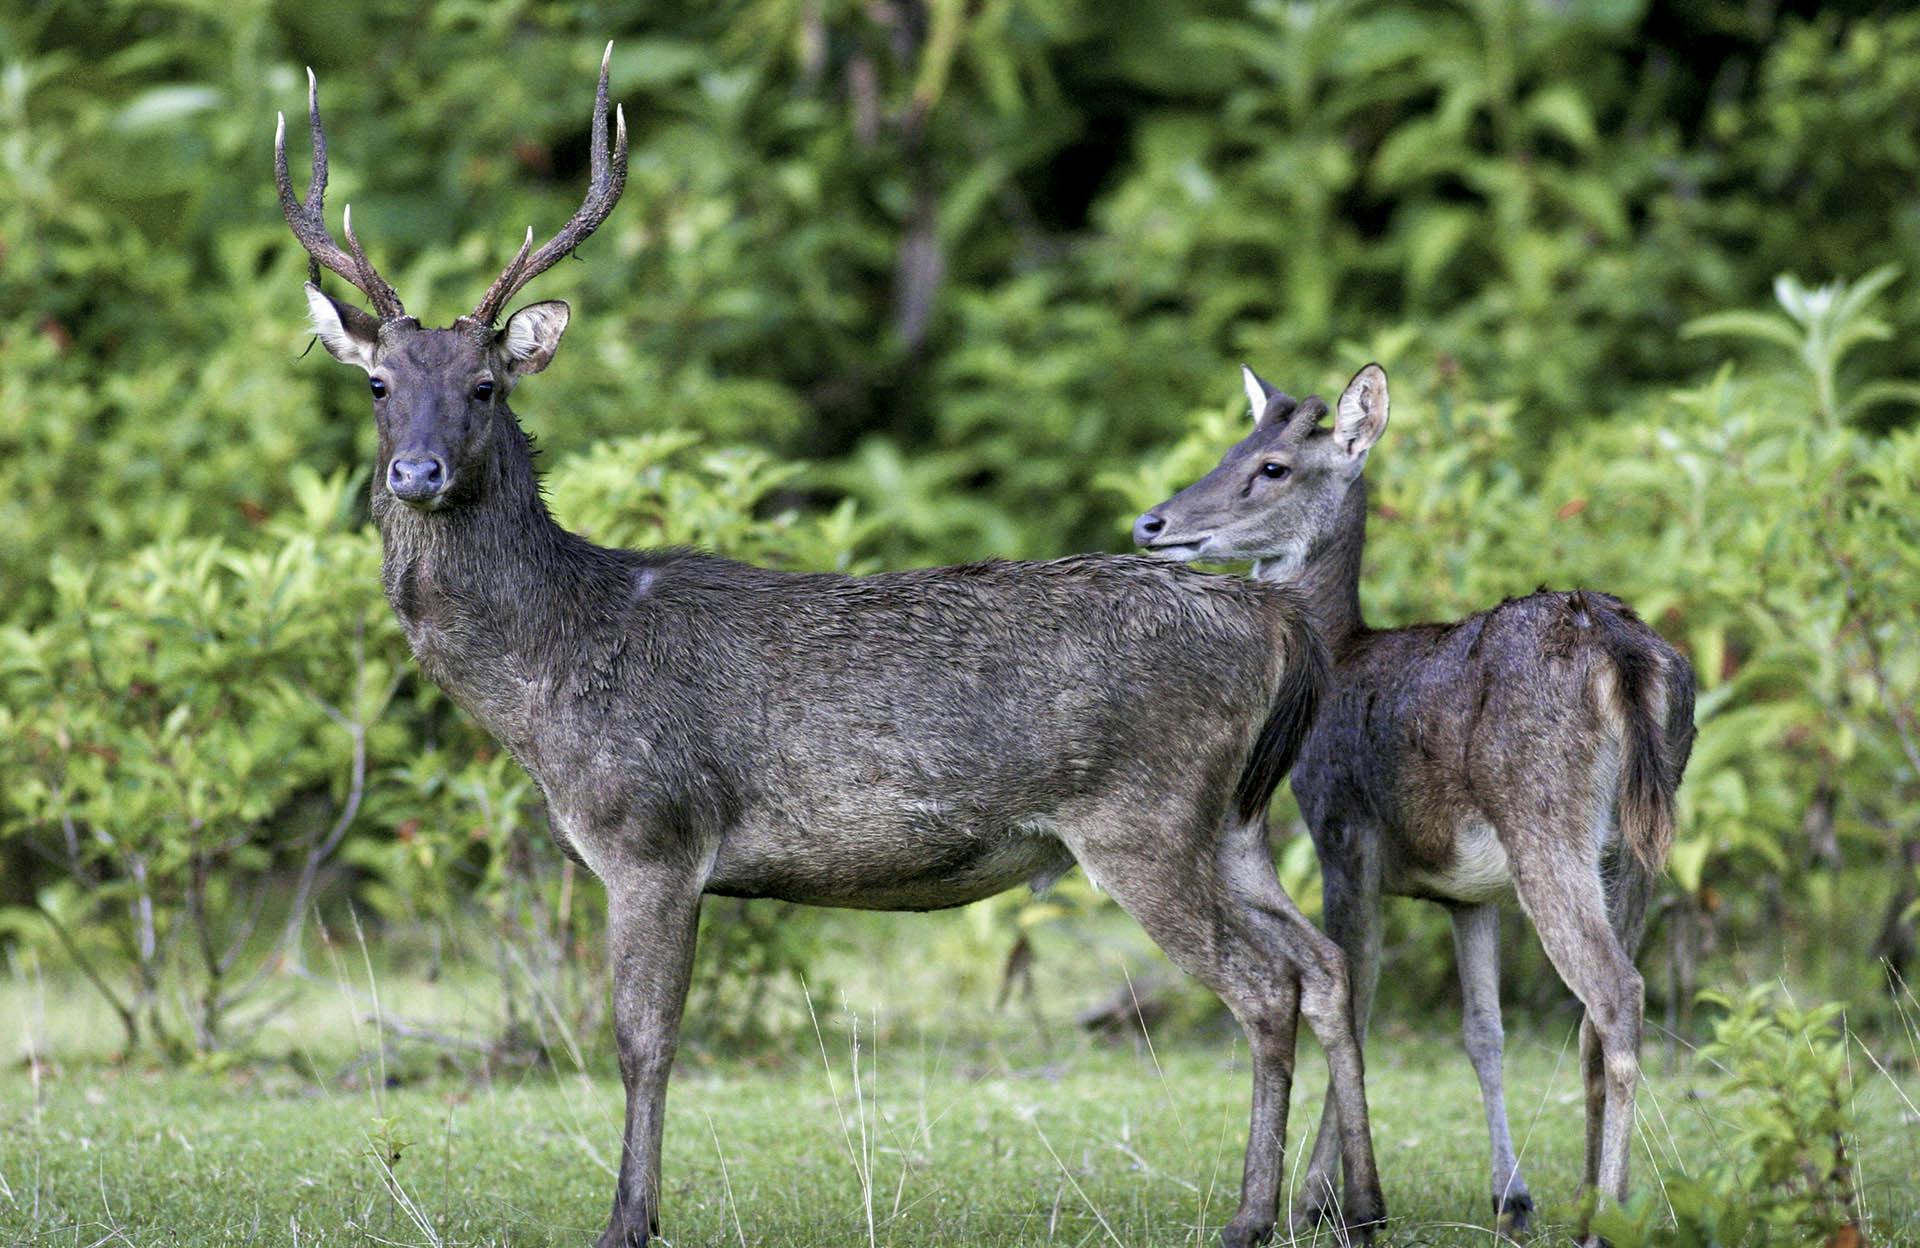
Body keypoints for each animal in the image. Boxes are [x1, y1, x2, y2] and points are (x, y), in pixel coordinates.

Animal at [276, 49, 1385, 1248]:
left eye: (484, 385)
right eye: (378, 384)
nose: (416, 474)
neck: (543, 682)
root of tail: (1275, 626)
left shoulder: (654, 833)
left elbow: (643, 1041)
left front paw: (629, 1221)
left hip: (1145, 814)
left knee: (1263, 987)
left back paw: (1251, 1216)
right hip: (1236, 818)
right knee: (1327, 963)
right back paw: (1358, 1202)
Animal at [1133, 363, 1696, 1238]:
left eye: (1272, 467)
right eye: (1233, 446)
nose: (1151, 522)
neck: (1340, 655)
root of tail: (1622, 653)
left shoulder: (1343, 835)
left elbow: (1356, 999)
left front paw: (1321, 1200)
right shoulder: (1468, 894)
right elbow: (1483, 1031)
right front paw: (1511, 1197)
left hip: (1544, 819)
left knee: (1615, 991)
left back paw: (1605, 1214)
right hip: (1635, 846)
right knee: (1595, 1021)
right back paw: (1593, 1200)